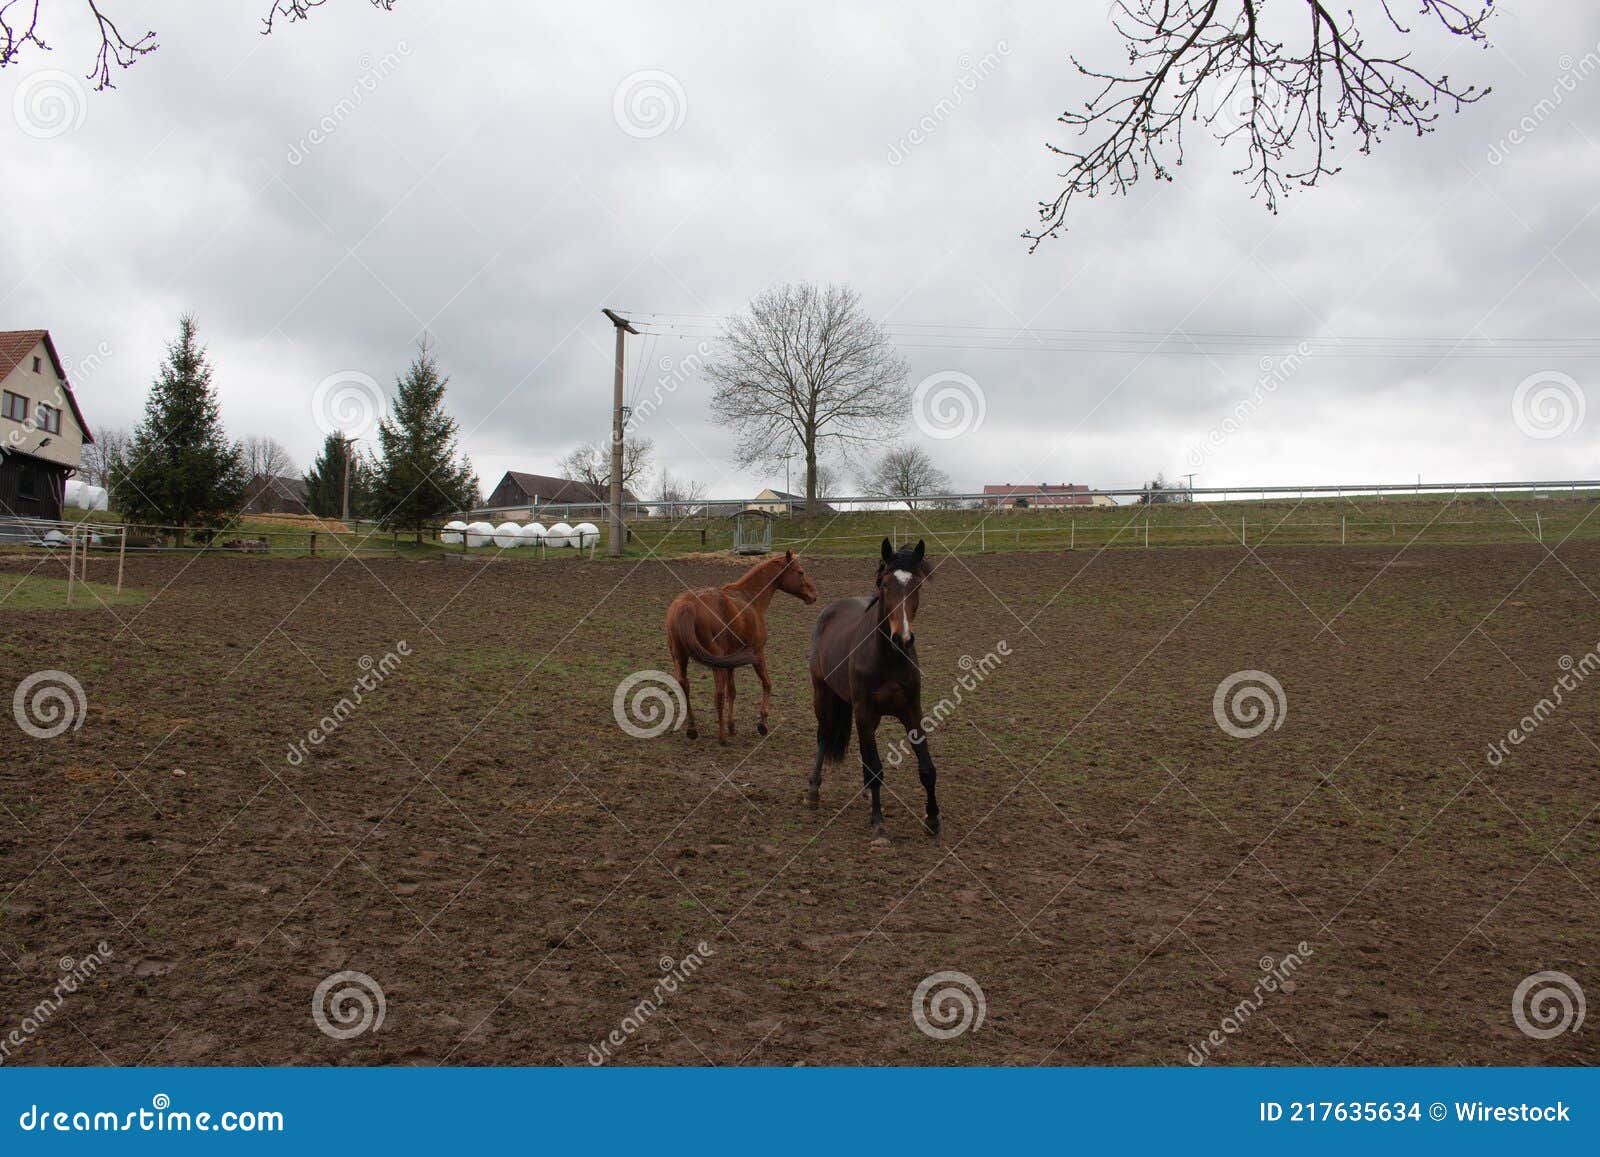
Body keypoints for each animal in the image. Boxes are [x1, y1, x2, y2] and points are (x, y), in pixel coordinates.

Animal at [664, 549, 818, 743]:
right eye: (801, 572)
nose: (813, 595)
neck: (749, 598)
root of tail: (687, 603)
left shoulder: (730, 662)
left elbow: (732, 691)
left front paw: (732, 726)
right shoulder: (758, 654)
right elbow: (767, 684)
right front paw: (762, 723)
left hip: (680, 657)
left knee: (685, 687)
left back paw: (693, 729)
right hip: (715, 661)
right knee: (718, 694)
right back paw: (722, 737)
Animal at [807, 538, 937, 843]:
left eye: (917, 584)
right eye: (885, 584)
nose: (903, 637)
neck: (888, 657)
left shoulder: (911, 710)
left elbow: (926, 767)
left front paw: (932, 819)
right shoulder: (864, 712)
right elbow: (876, 768)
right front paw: (879, 825)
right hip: (823, 695)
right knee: (825, 736)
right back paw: (813, 791)